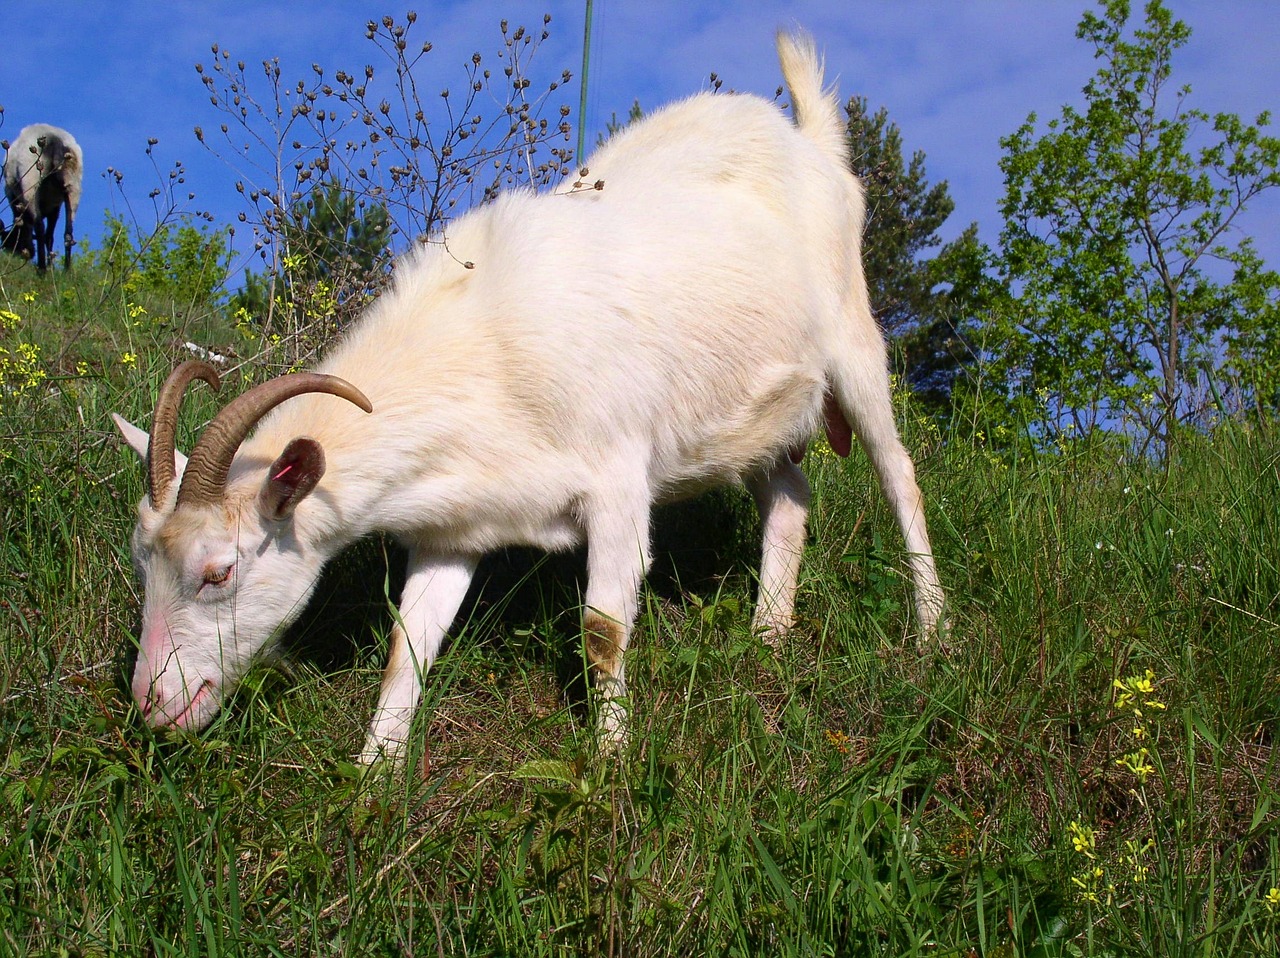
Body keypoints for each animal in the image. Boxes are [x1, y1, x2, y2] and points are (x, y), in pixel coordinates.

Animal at [3, 124, 83, 271]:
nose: (16, 255)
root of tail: (54, 140)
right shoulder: (55, 207)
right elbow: (49, 236)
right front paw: (51, 265)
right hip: (73, 187)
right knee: (68, 233)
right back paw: (66, 270)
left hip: (31, 185)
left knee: (39, 228)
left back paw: (42, 268)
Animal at [112, 31, 947, 763]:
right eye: (141, 562)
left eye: (218, 571)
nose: (153, 705)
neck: (483, 344)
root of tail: (811, 141)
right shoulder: (455, 525)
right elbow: (408, 646)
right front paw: (372, 778)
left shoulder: (617, 482)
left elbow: (603, 632)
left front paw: (608, 770)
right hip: (752, 412)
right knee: (789, 494)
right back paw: (768, 635)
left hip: (854, 344)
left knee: (900, 475)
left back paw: (931, 630)